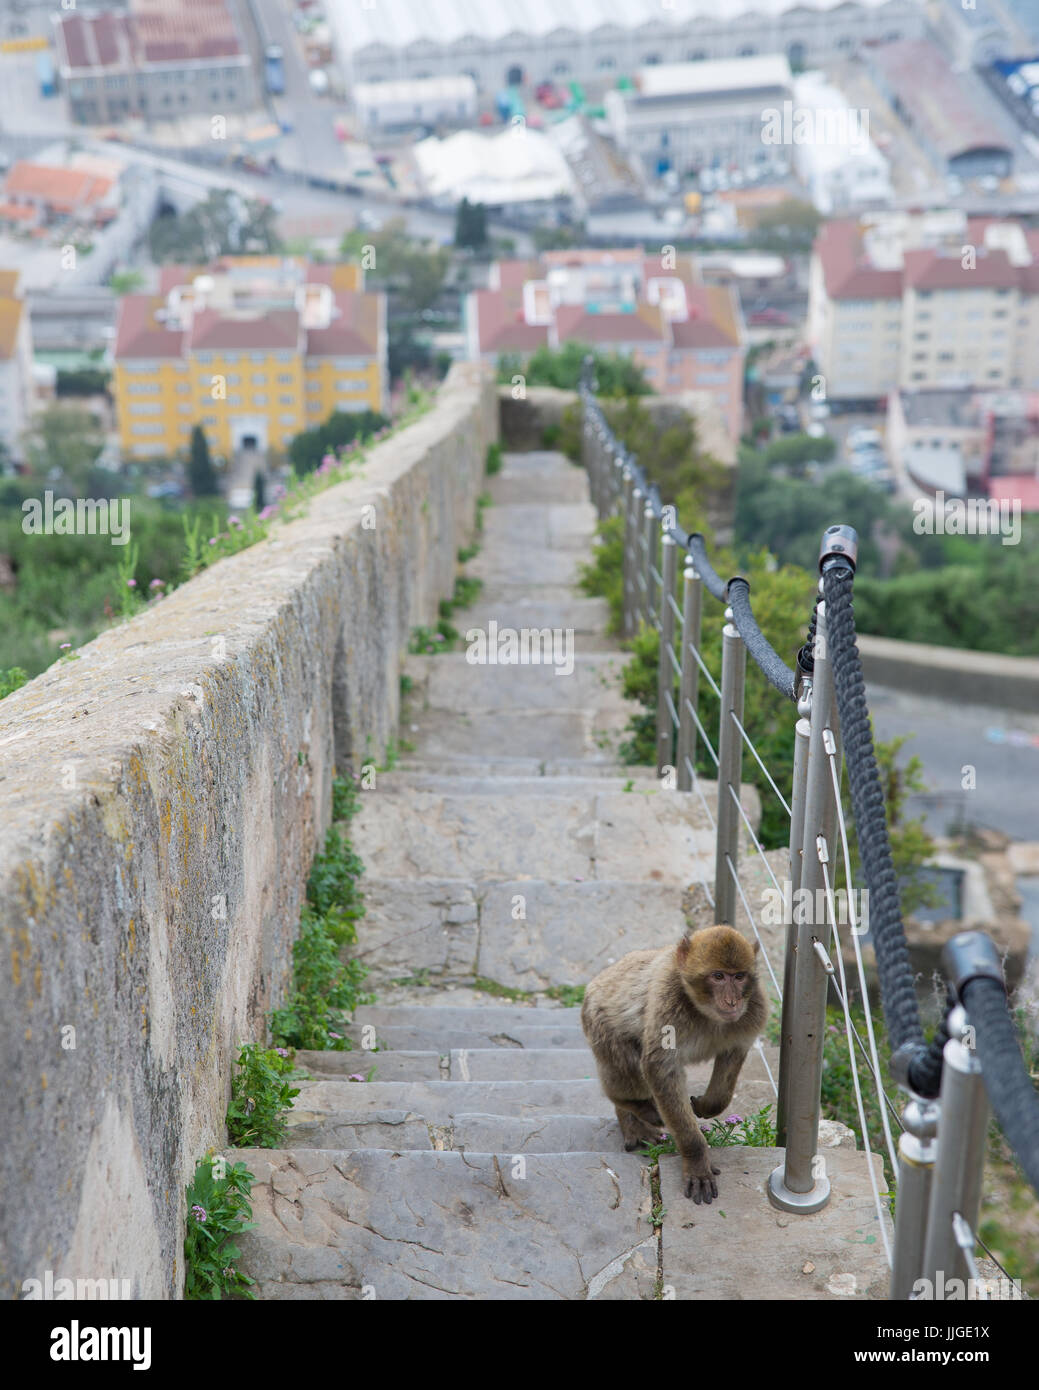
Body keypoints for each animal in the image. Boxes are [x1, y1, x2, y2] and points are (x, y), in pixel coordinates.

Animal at [581, 925, 767, 1204]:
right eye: (718, 976)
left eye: (739, 976)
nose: (732, 1002)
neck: (705, 1013)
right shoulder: (668, 1006)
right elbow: (660, 1068)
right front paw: (696, 1158)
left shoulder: (751, 1013)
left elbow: (732, 1057)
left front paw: (708, 1104)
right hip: (599, 1023)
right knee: (623, 1067)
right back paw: (633, 1108)